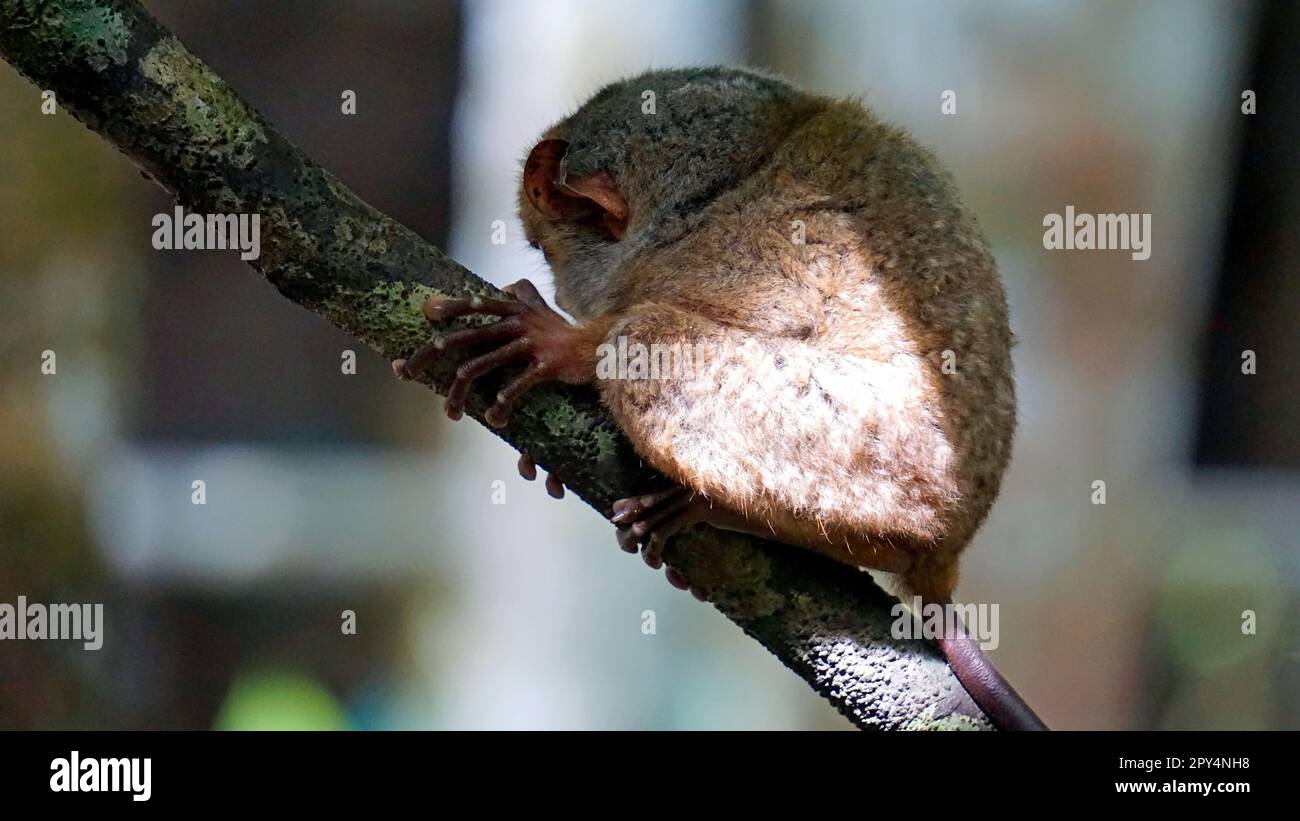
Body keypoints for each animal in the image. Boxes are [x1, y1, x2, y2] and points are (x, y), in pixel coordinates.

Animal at [393, 66, 1046, 731]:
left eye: (547, 251)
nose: (564, 293)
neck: (724, 184)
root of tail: (949, 553)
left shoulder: (747, 249)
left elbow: (761, 316)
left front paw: (557, 344)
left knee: (643, 339)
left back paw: (704, 506)